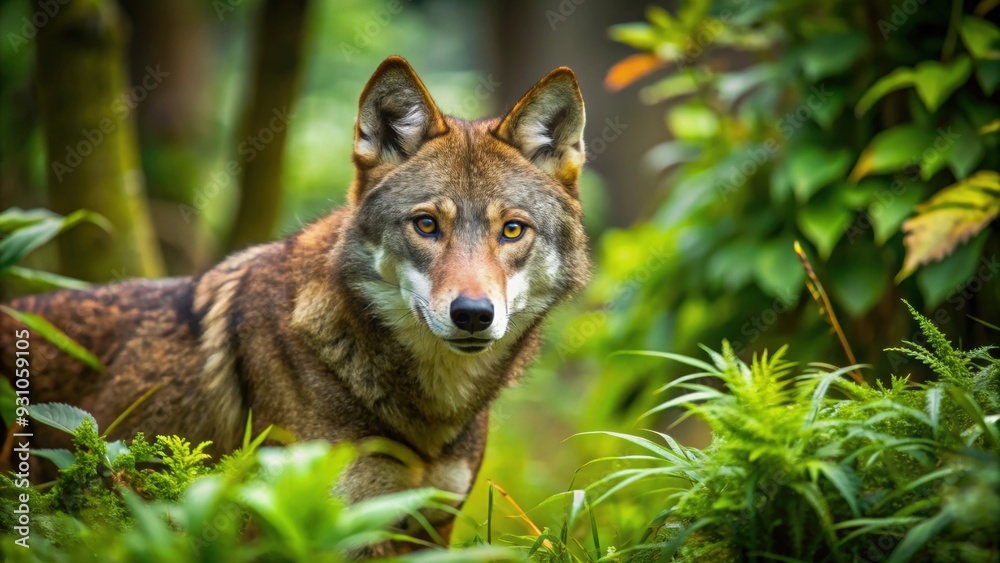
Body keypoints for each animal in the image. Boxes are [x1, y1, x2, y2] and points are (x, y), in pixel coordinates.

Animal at [0, 56, 590, 553]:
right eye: (426, 225)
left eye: (512, 230)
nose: (472, 314)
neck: (426, 415)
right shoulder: (306, 525)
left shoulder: (428, 529)